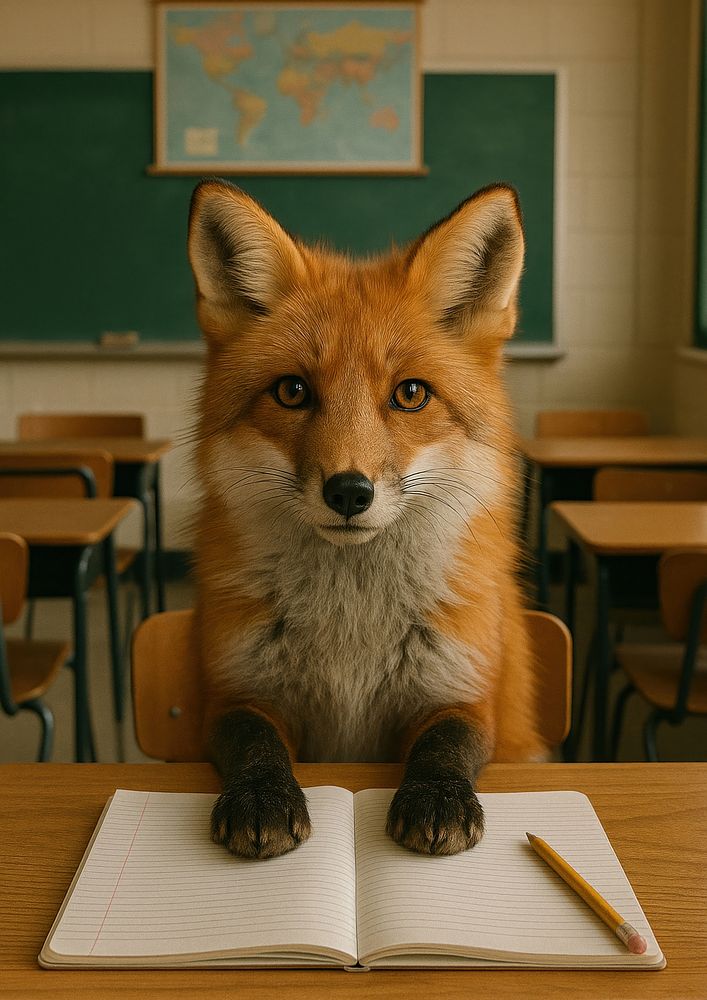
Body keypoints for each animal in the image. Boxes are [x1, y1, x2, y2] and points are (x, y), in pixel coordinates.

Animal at [188, 179, 542, 861]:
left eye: (411, 394)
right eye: (292, 391)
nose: (349, 492)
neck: (351, 631)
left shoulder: (467, 695)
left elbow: (446, 744)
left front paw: (437, 797)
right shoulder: (230, 695)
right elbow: (252, 740)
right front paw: (262, 795)